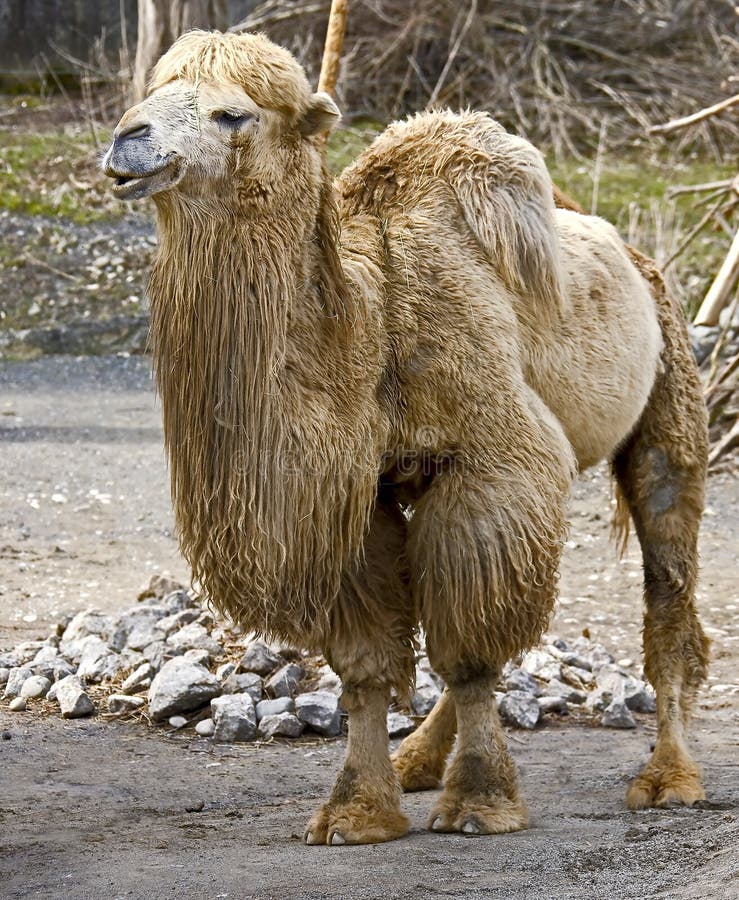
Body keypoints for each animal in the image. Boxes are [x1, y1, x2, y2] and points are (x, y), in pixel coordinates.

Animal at [102, 30, 709, 846]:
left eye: (235, 114)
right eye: (152, 92)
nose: (128, 140)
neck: (374, 321)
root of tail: (638, 260)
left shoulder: (494, 461)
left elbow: (470, 651)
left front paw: (480, 803)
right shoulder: (353, 495)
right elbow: (366, 665)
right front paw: (356, 811)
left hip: (671, 394)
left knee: (666, 582)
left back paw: (668, 778)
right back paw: (418, 758)